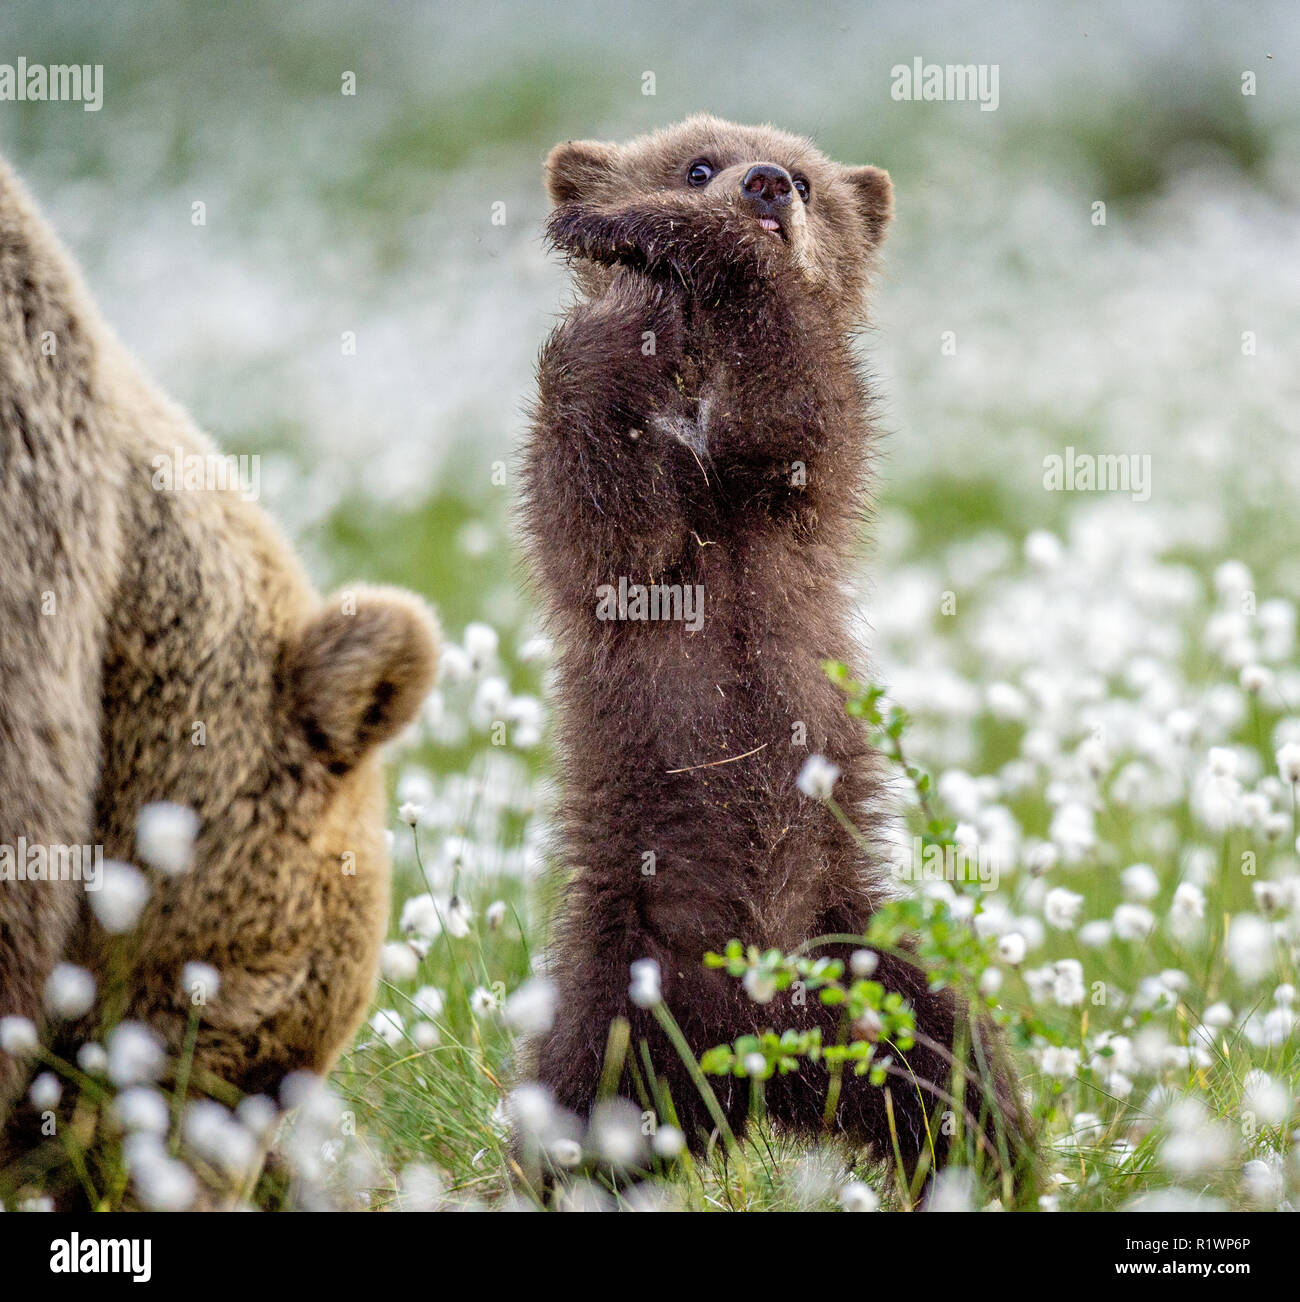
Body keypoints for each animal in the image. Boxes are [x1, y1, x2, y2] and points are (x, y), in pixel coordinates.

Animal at [518, 115, 1032, 1197]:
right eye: (697, 162)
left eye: (803, 174)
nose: (762, 186)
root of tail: (758, 1067)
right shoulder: (617, 527)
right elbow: (605, 506)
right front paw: (619, 298)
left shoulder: (799, 481)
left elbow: (797, 403)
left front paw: (673, 245)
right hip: (618, 989)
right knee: (575, 1108)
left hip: (866, 967)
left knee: (953, 1079)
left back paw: (994, 1165)